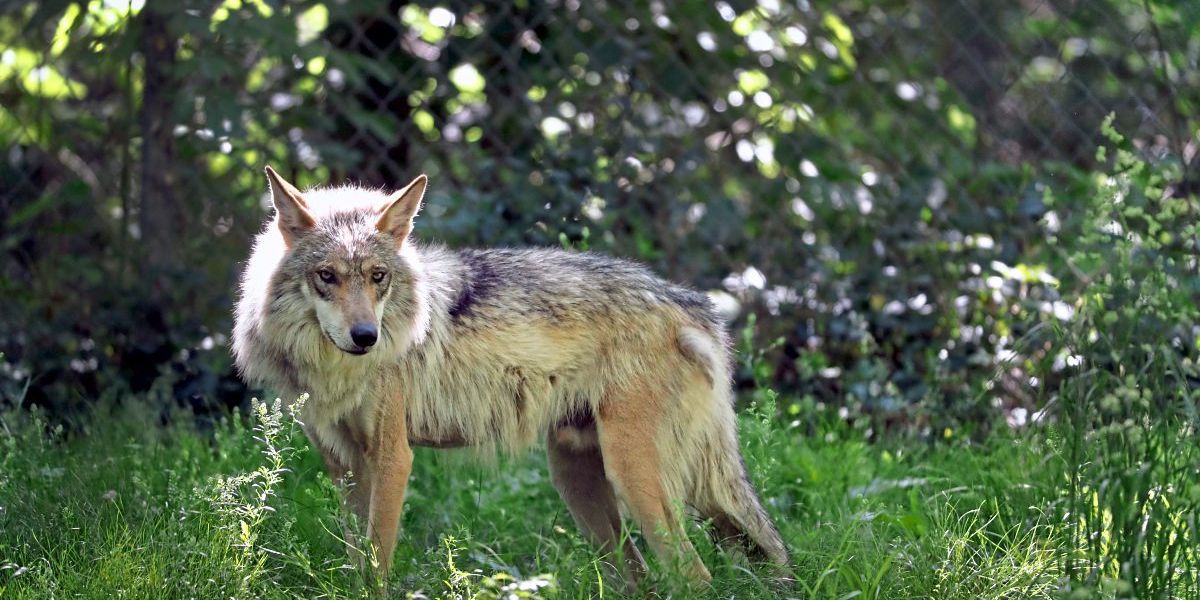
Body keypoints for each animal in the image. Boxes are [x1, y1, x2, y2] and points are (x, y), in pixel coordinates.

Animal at [231, 166, 790, 586]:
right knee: (643, 578)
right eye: (327, 276)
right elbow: (356, 568)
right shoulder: (344, 467)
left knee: (696, 575)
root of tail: (692, 303)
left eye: (378, 277)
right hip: (582, 486)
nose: (366, 336)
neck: (336, 371)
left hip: (638, 481)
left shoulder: (392, 459)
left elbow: (378, 569)